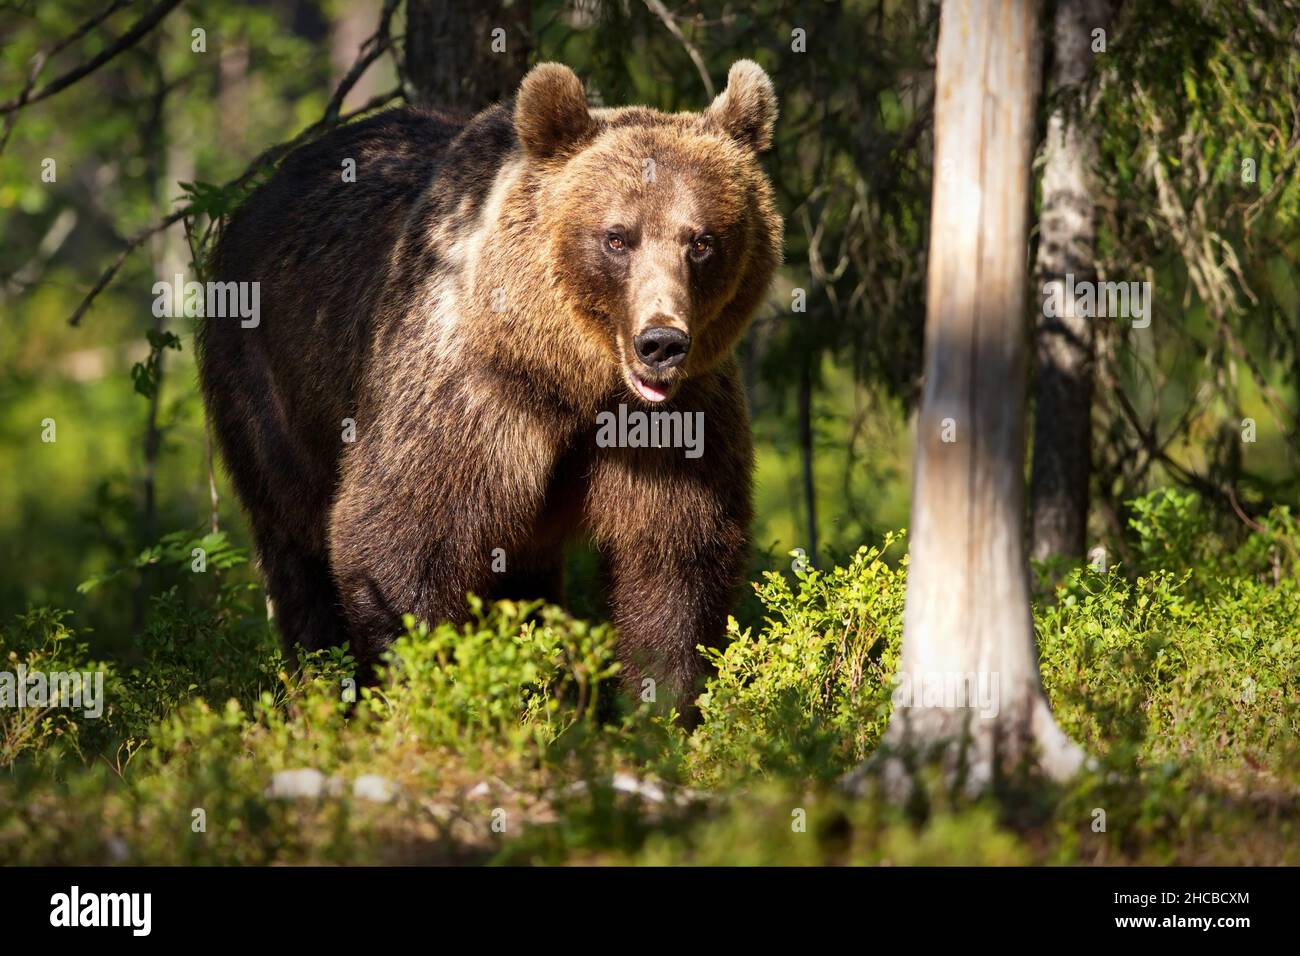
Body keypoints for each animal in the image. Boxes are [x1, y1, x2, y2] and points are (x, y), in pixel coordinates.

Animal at [197, 60, 783, 710]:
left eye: (701, 240)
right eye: (616, 237)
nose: (661, 342)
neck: (572, 378)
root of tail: (256, 195)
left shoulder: (679, 422)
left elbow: (678, 560)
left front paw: (659, 707)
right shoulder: (471, 390)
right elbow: (400, 539)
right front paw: (422, 685)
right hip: (266, 381)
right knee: (292, 538)